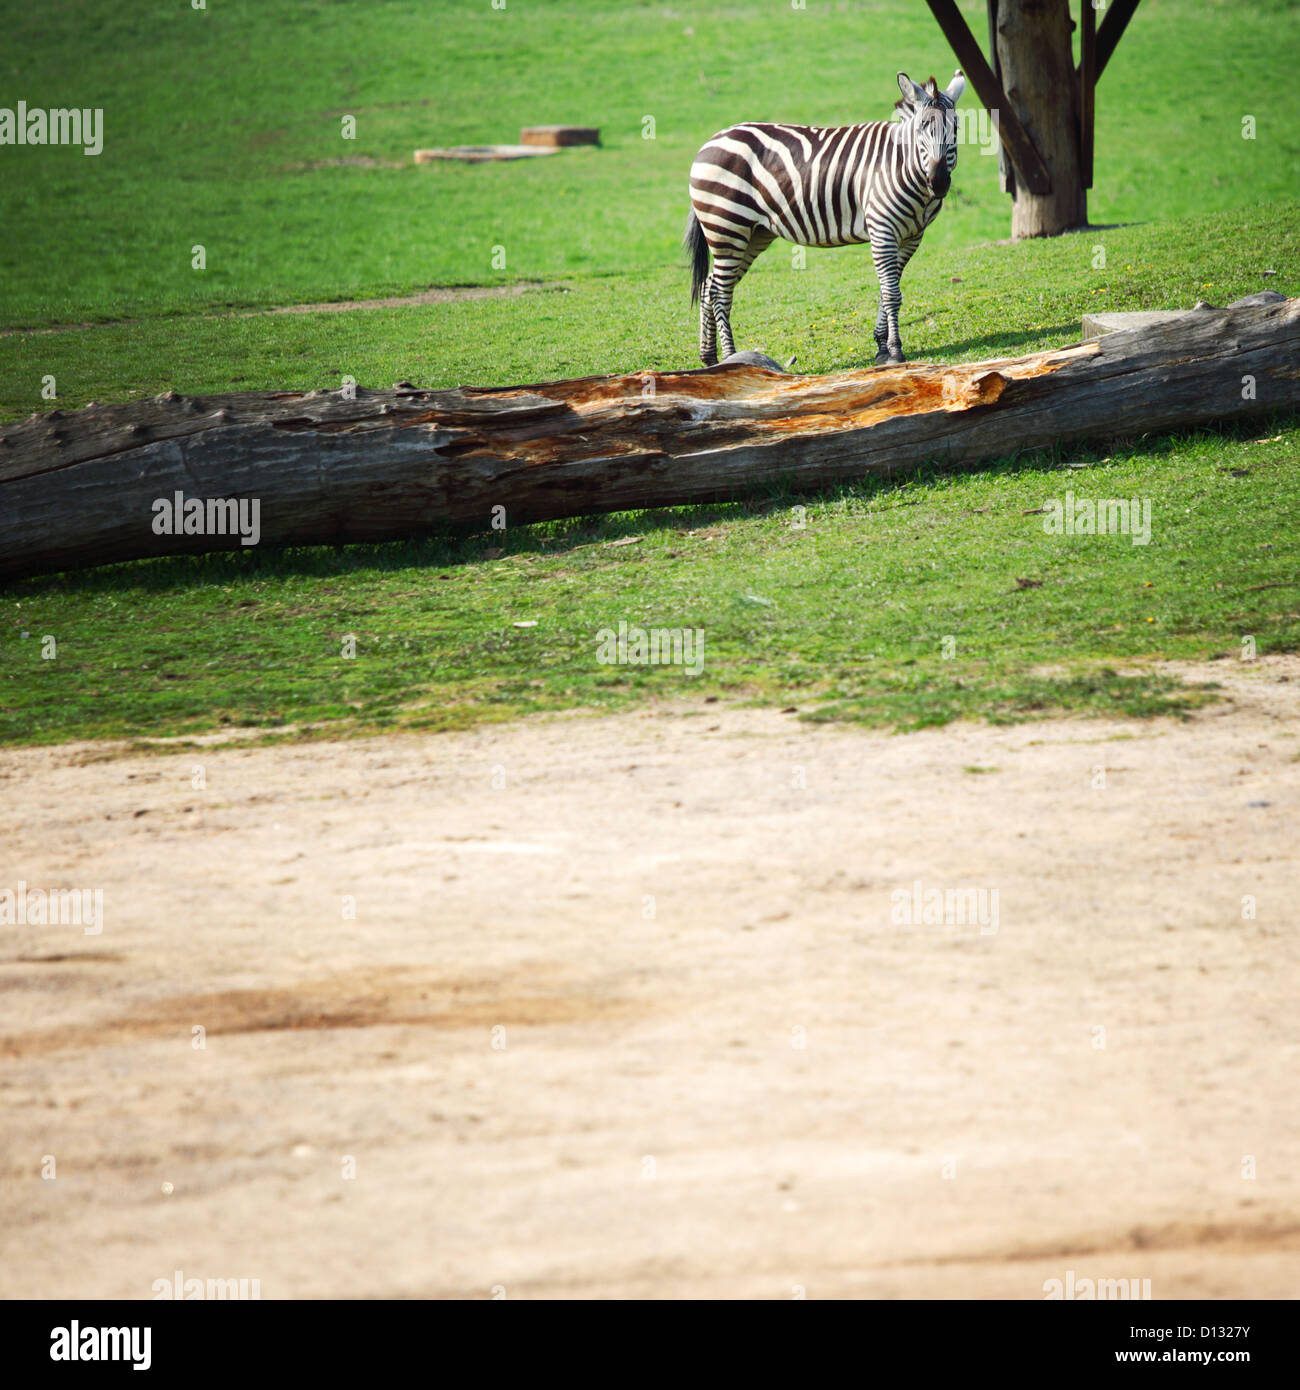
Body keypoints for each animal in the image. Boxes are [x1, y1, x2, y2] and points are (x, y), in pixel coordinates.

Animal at [684, 70, 966, 368]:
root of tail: (710, 141)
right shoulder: (882, 230)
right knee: (720, 292)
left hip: (753, 234)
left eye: (955, 129)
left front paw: (881, 346)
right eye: (921, 129)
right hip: (727, 226)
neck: (902, 167)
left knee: (708, 286)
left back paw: (709, 358)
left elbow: (884, 290)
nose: (938, 182)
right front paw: (895, 351)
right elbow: (891, 293)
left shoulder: (911, 237)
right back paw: (730, 358)